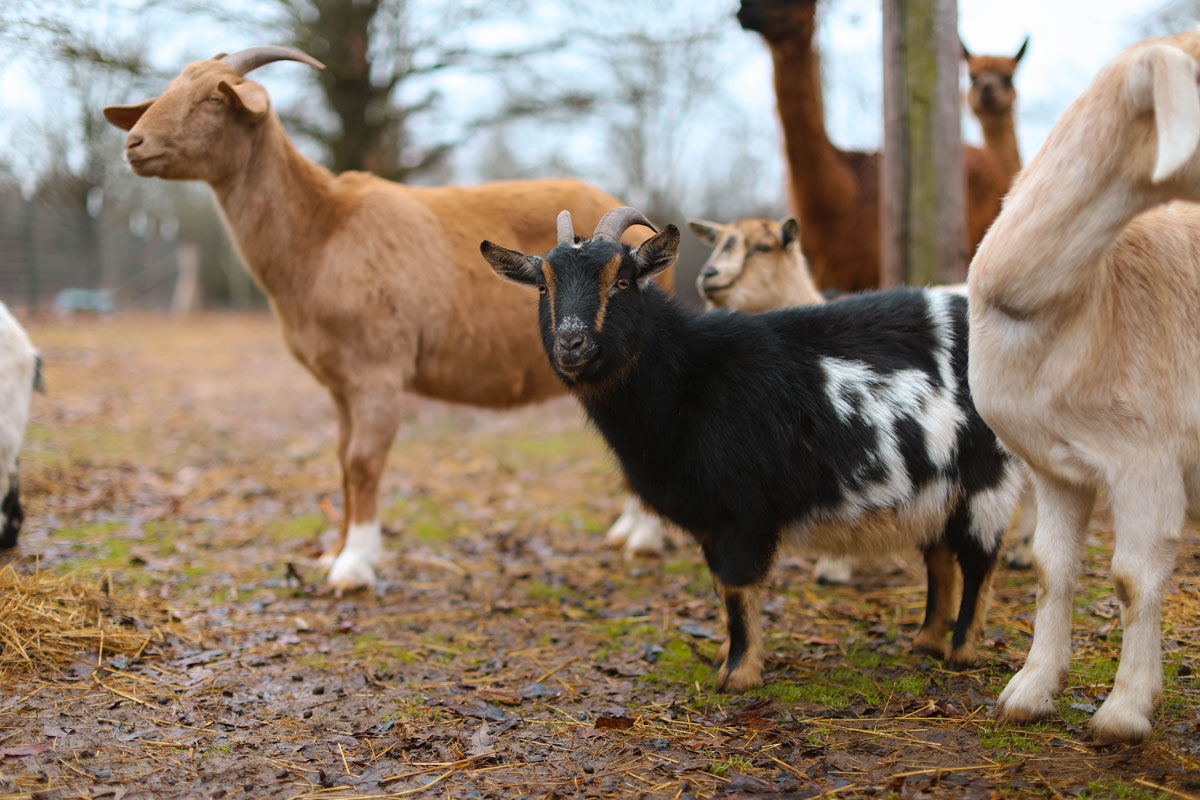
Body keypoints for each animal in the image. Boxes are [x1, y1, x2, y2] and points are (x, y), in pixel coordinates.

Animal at [103, 46, 670, 592]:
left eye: (214, 98)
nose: (134, 144)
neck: (323, 232)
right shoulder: (339, 382)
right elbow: (341, 458)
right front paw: (332, 554)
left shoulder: (377, 370)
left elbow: (362, 462)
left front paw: (354, 566)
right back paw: (627, 529)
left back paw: (643, 538)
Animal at [482, 207, 1023, 692]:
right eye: (543, 286)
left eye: (622, 281)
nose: (571, 345)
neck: (691, 377)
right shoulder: (713, 517)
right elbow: (724, 589)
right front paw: (732, 657)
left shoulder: (745, 509)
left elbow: (738, 589)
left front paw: (737, 674)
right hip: (934, 486)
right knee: (940, 556)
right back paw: (926, 641)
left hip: (985, 476)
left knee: (979, 559)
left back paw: (961, 650)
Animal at [968, 30, 1200, 743]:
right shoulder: (1054, 466)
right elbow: (1051, 569)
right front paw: (1031, 689)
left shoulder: (1147, 460)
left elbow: (1130, 579)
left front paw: (1125, 710)